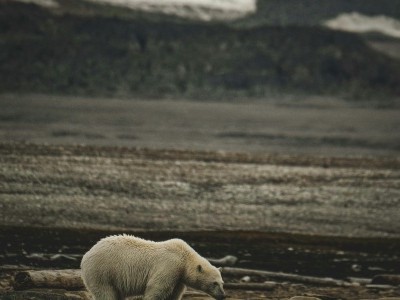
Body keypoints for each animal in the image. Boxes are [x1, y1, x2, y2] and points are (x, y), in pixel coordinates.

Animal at [80, 236, 225, 298]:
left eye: (222, 283)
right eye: (214, 283)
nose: (223, 295)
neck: (184, 258)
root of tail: (87, 254)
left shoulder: (179, 278)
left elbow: (174, 294)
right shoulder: (169, 266)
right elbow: (157, 288)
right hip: (103, 271)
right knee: (106, 292)